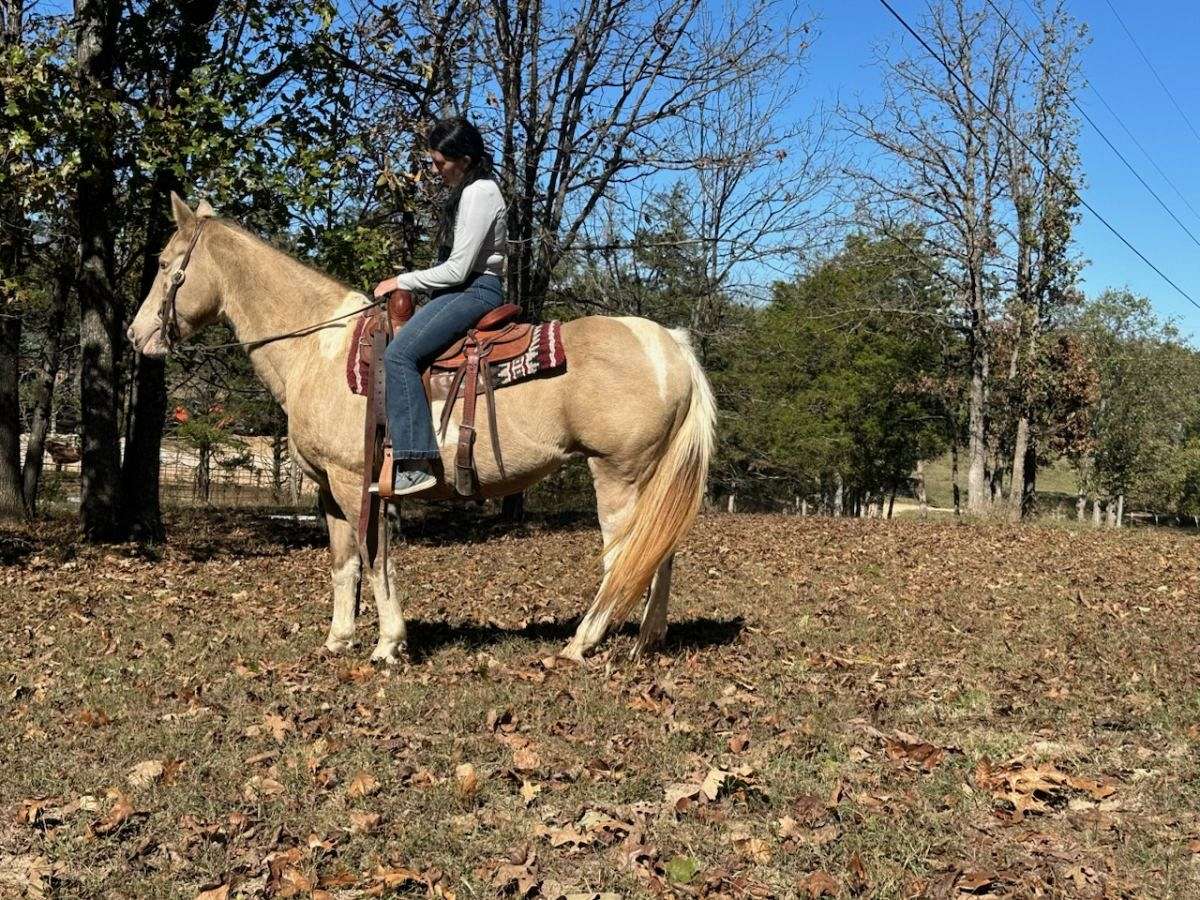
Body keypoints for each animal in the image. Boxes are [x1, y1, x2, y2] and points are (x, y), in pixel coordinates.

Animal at [128, 194, 717, 664]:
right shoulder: (329, 490)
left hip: (618, 475)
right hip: (651, 481)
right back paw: (647, 640)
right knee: (657, 552)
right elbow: (343, 562)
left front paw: (388, 644)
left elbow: (375, 558)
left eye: (165, 263)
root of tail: (670, 345)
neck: (318, 348)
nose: (136, 336)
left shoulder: (355, 482)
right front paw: (338, 640)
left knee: (622, 554)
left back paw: (581, 643)